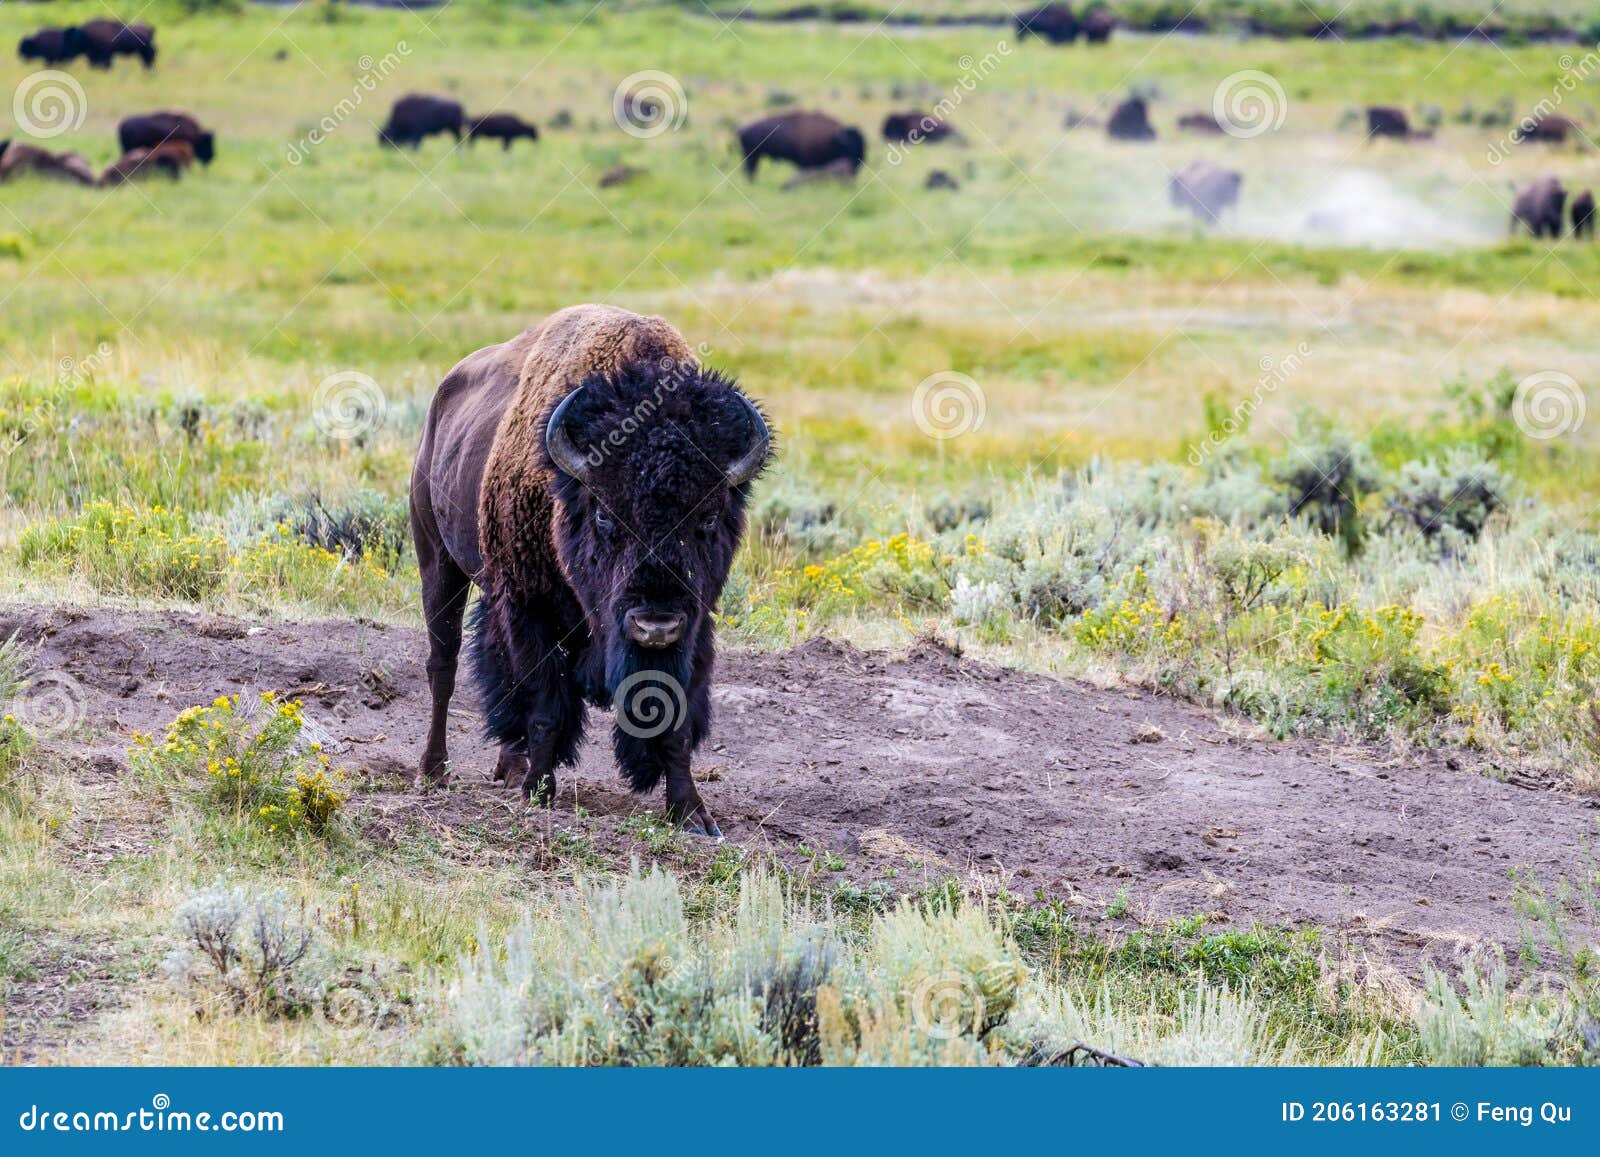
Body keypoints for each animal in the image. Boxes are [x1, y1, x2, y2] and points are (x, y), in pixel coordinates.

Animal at [410, 304, 771, 836]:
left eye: (707, 516)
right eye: (605, 512)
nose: (654, 624)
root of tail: (439, 406)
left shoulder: (696, 627)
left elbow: (677, 724)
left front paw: (693, 814)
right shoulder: (530, 608)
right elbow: (545, 708)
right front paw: (539, 792)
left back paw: (508, 766)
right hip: (438, 562)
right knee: (445, 665)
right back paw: (434, 771)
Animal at [736, 111, 865, 181]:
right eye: (851, 146)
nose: (859, 164)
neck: (832, 139)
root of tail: (742, 130)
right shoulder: (805, 163)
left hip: (754, 156)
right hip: (752, 156)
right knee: (750, 170)